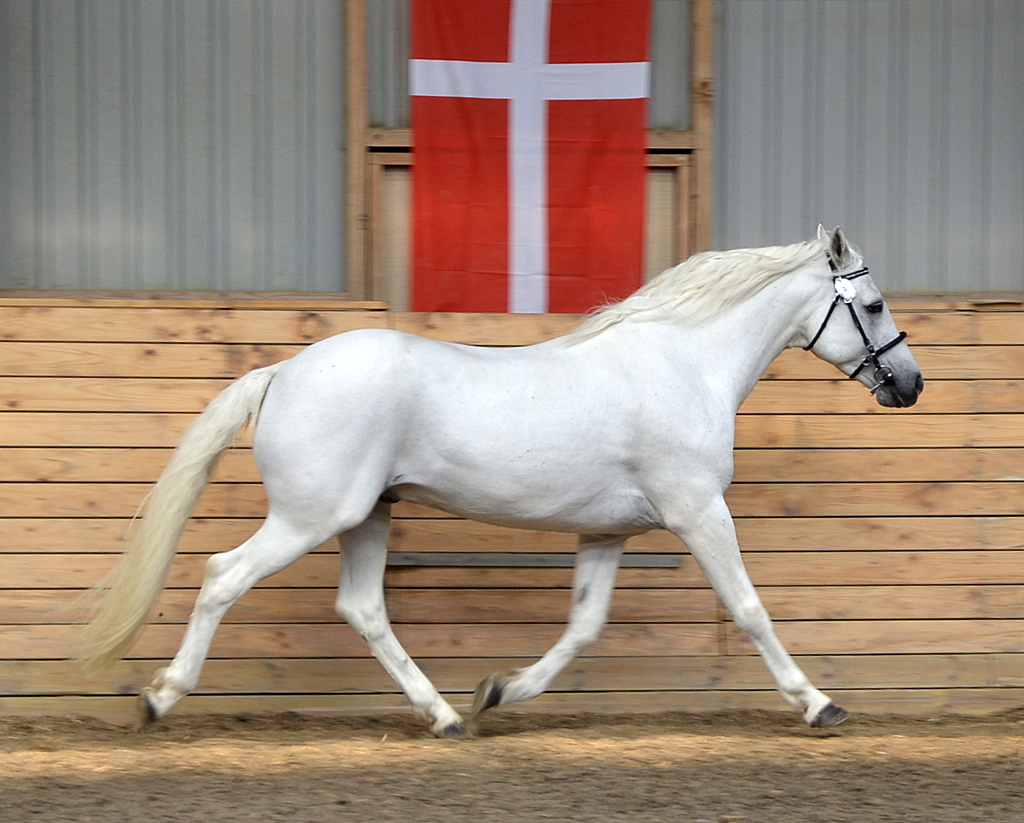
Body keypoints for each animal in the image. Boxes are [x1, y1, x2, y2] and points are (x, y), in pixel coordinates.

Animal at [78, 226, 923, 738]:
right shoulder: (698, 511)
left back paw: (447, 715)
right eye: (875, 303)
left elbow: (582, 627)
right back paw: (159, 696)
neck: (683, 362)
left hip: (367, 515)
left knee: (363, 608)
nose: (911, 384)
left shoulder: (607, 530)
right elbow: (749, 609)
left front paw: (499, 691)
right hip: (312, 516)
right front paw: (820, 703)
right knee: (223, 577)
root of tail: (283, 371)